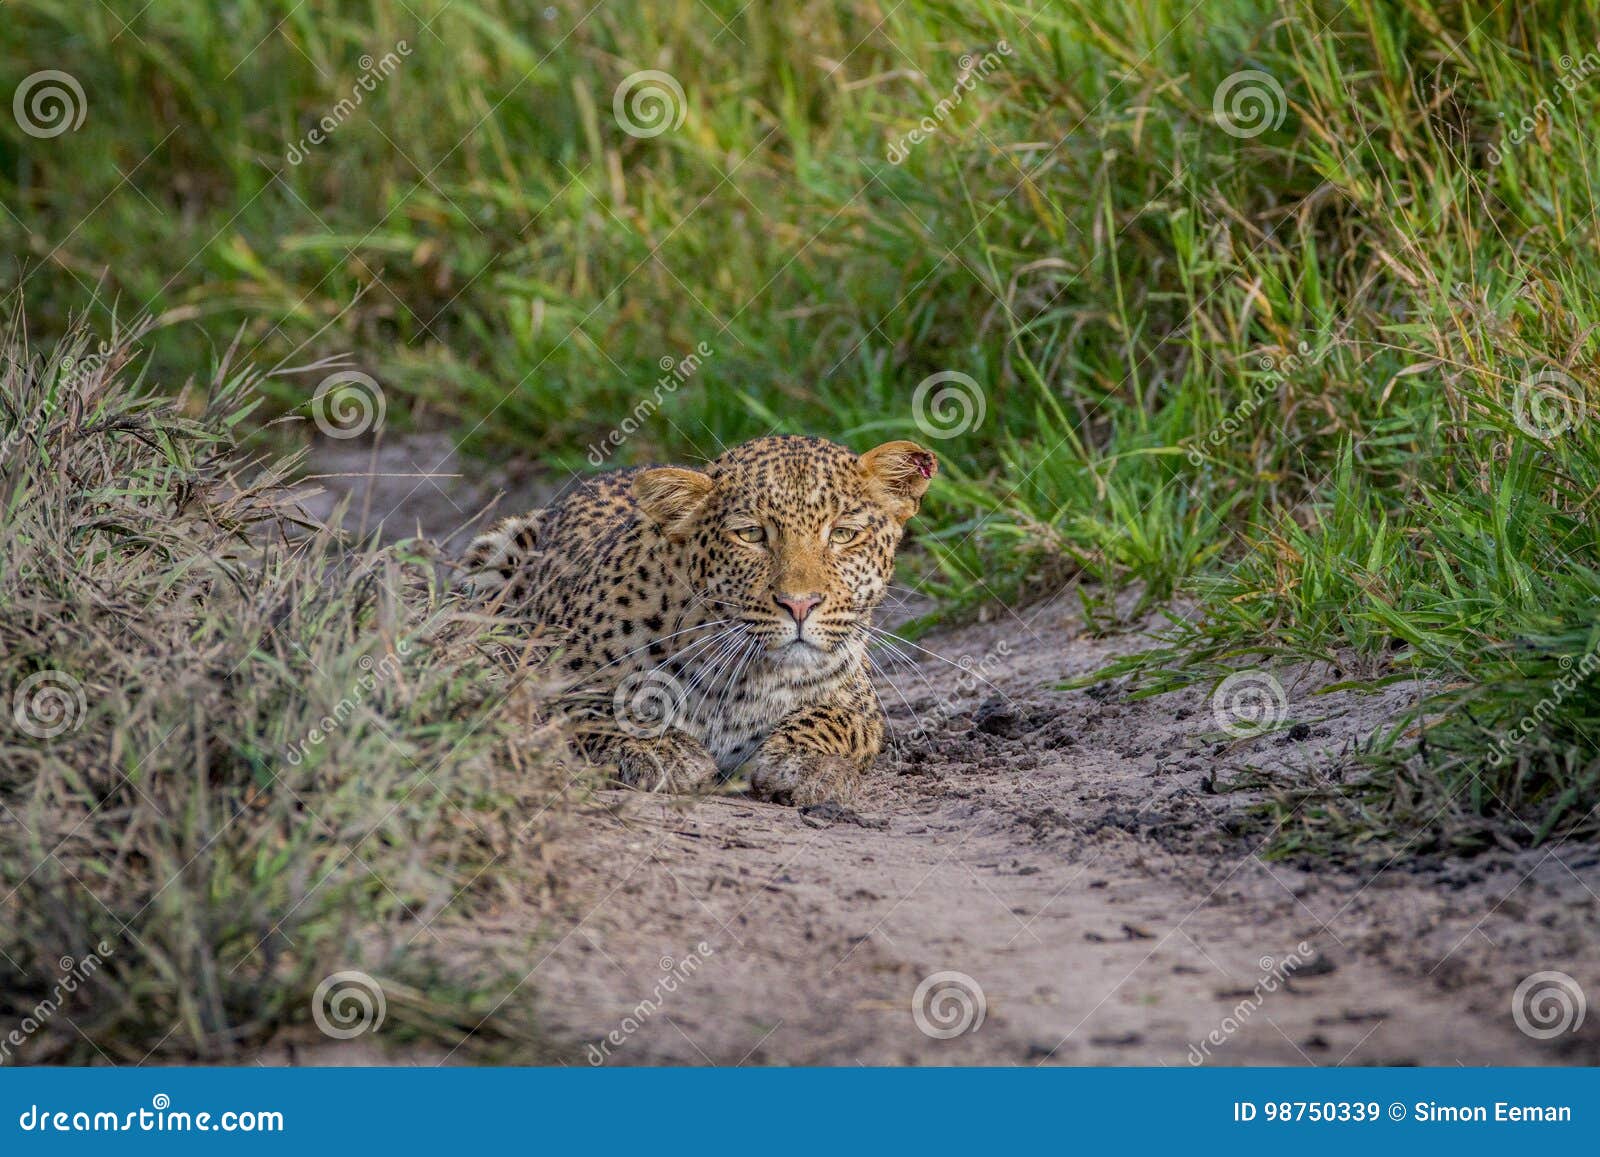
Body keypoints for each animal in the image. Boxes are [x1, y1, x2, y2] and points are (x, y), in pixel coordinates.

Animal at [460, 434, 936, 806]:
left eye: (843, 534)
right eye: (750, 535)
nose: (800, 605)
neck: (748, 678)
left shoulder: (859, 701)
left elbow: (835, 720)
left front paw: (806, 764)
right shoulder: (551, 685)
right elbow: (601, 707)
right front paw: (664, 751)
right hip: (493, 551)